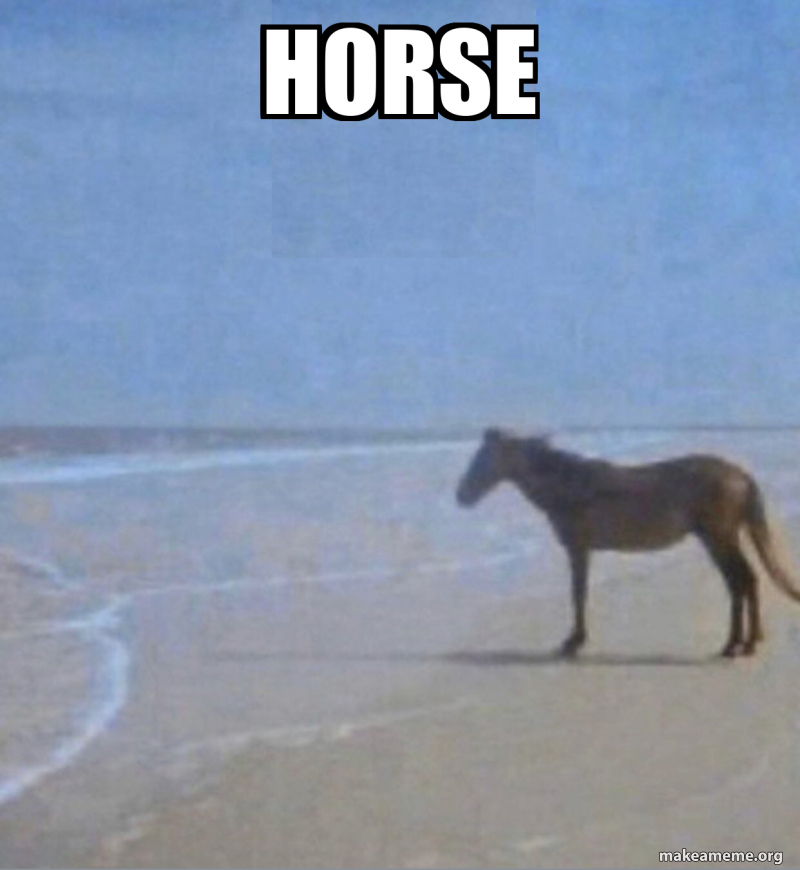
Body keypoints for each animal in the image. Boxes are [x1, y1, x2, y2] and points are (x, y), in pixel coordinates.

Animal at [456, 428, 800, 658]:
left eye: (482, 459)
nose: (461, 496)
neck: (569, 484)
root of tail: (741, 475)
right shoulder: (582, 549)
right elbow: (579, 594)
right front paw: (575, 640)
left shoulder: (578, 548)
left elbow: (577, 594)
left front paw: (573, 642)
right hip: (719, 537)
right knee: (744, 581)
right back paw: (744, 642)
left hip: (718, 536)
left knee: (741, 581)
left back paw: (737, 645)